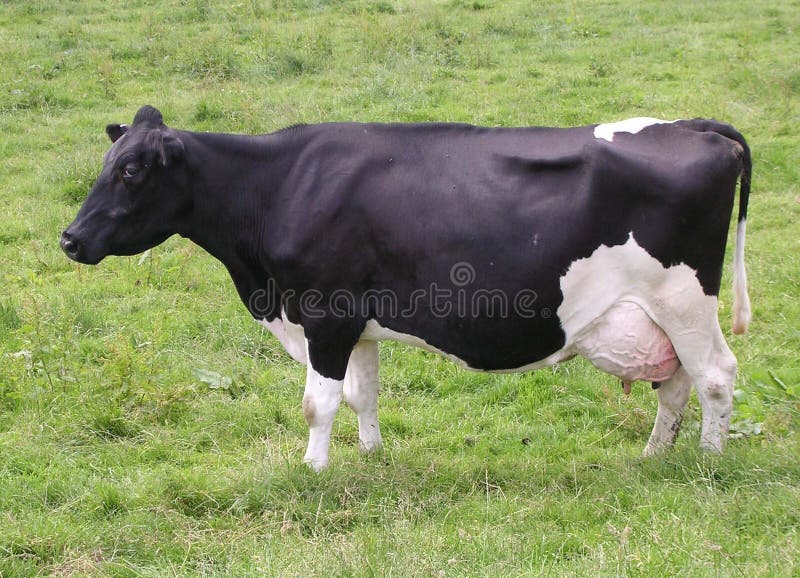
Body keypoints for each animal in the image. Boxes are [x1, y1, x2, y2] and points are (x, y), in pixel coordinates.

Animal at [61, 106, 752, 470]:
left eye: (131, 171)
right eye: (108, 163)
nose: (69, 239)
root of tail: (694, 126)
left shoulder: (325, 315)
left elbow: (319, 402)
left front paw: (312, 471)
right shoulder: (357, 324)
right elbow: (362, 395)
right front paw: (369, 458)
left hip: (685, 299)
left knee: (716, 375)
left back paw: (711, 462)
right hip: (661, 313)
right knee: (677, 382)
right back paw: (654, 456)